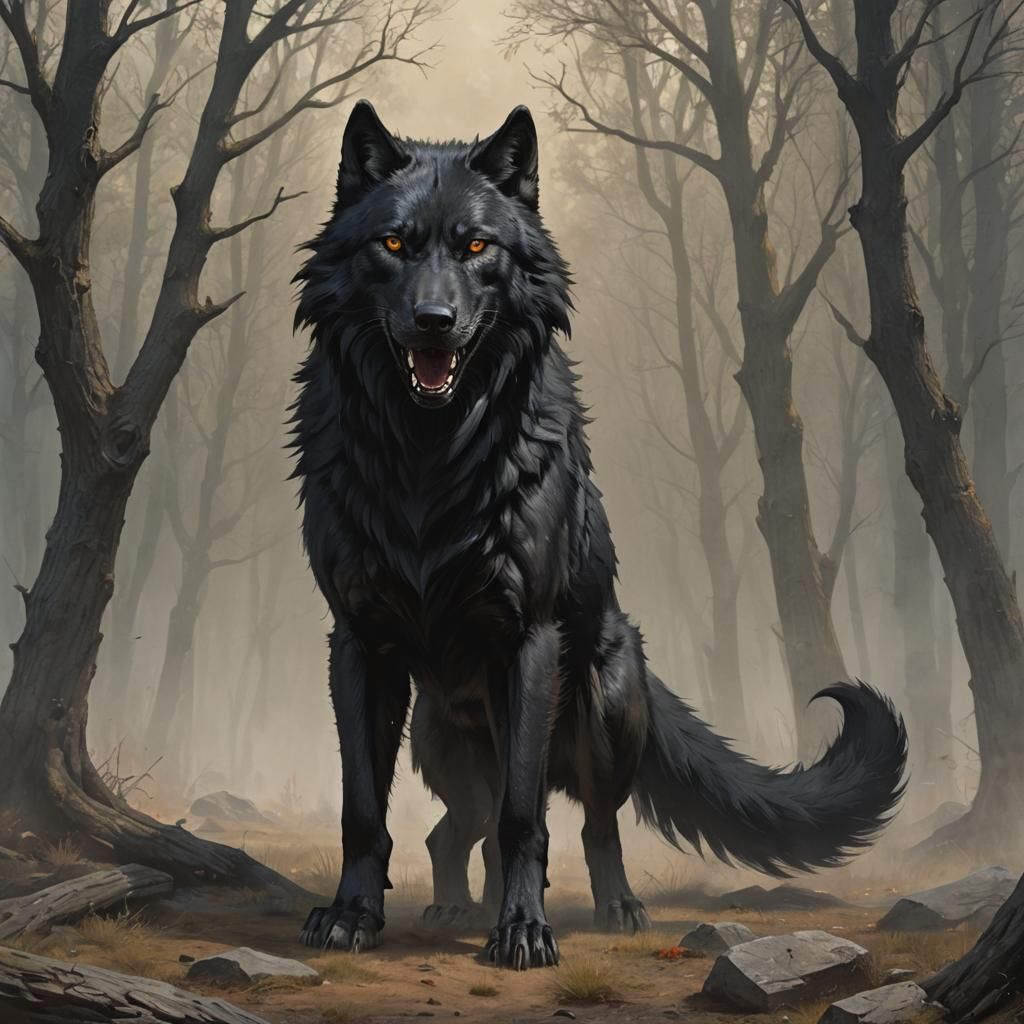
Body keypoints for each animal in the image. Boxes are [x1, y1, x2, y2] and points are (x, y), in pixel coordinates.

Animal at [290, 100, 907, 970]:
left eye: (476, 247)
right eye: (395, 244)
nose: (434, 323)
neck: (425, 456)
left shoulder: (529, 639)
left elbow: (527, 821)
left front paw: (523, 932)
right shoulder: (358, 642)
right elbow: (362, 811)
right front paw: (350, 915)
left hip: (605, 711)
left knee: (589, 824)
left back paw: (613, 910)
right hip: (445, 747)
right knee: (456, 832)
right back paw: (453, 910)